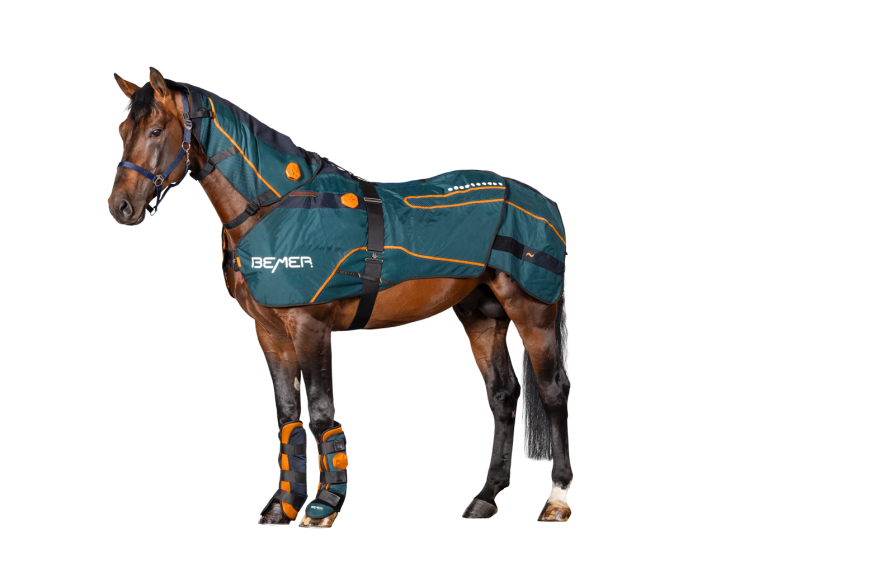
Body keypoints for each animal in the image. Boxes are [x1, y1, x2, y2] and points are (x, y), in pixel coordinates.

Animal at [109, 67, 573, 528]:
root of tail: (543, 201)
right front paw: (282, 504)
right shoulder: (270, 332)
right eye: (123, 130)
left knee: (553, 391)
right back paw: (487, 497)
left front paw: (324, 503)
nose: (121, 206)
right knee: (502, 395)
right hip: (482, 315)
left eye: (155, 130)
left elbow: (318, 415)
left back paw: (558, 499)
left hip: (532, 313)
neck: (274, 208)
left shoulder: (310, 326)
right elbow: (288, 417)